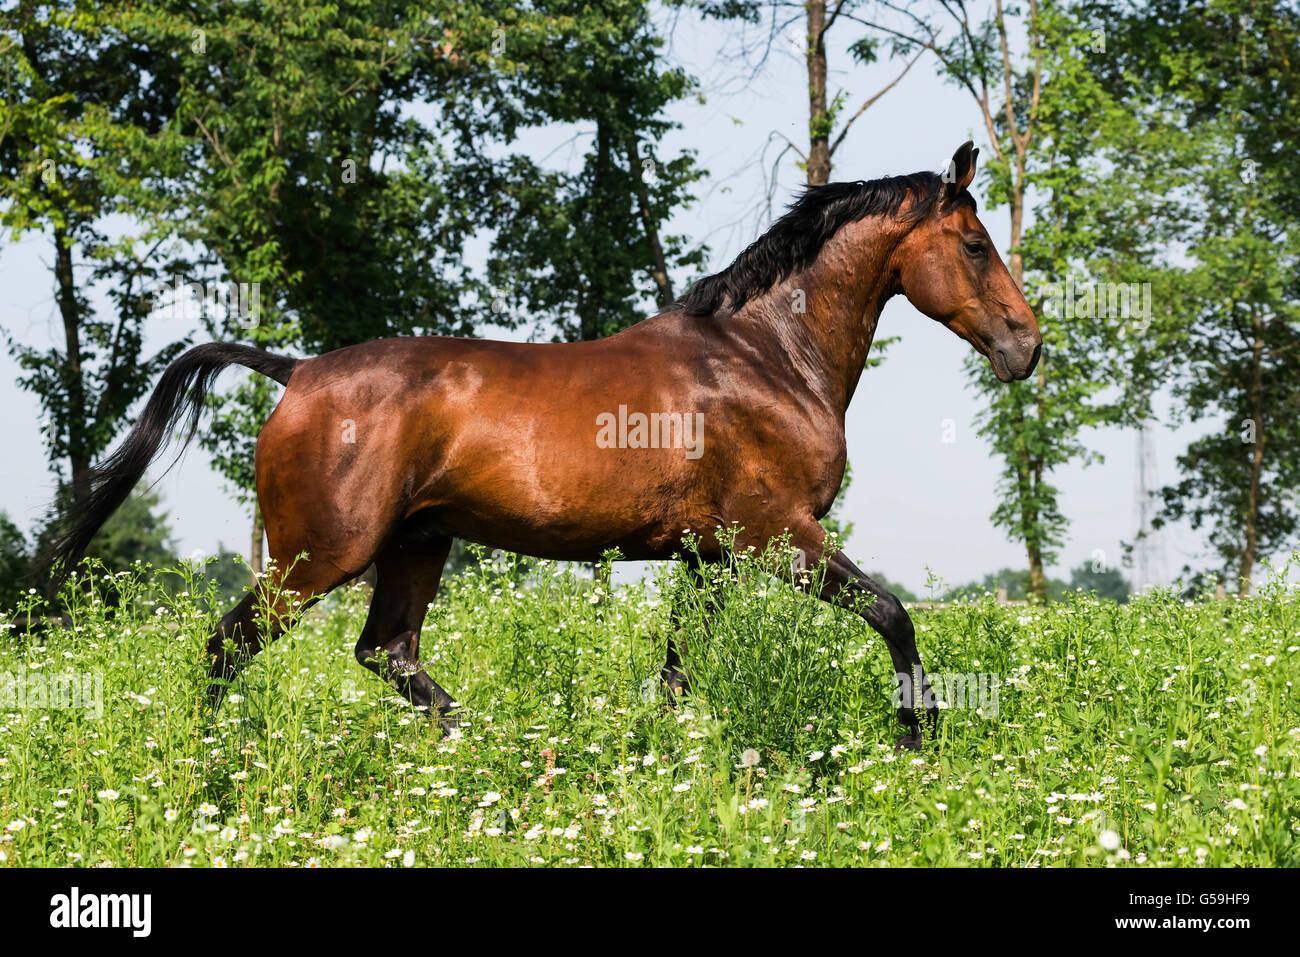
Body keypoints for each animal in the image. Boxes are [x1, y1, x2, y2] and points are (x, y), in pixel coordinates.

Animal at [44, 141, 1041, 750]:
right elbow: (894, 616)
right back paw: (213, 759)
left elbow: (677, 672)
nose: (1026, 347)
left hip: (417, 544)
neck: (764, 355)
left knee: (389, 653)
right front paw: (916, 734)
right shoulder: (779, 537)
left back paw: (486, 750)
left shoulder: (710, 556)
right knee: (229, 646)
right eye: (976, 243)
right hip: (319, 556)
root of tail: (296, 371)